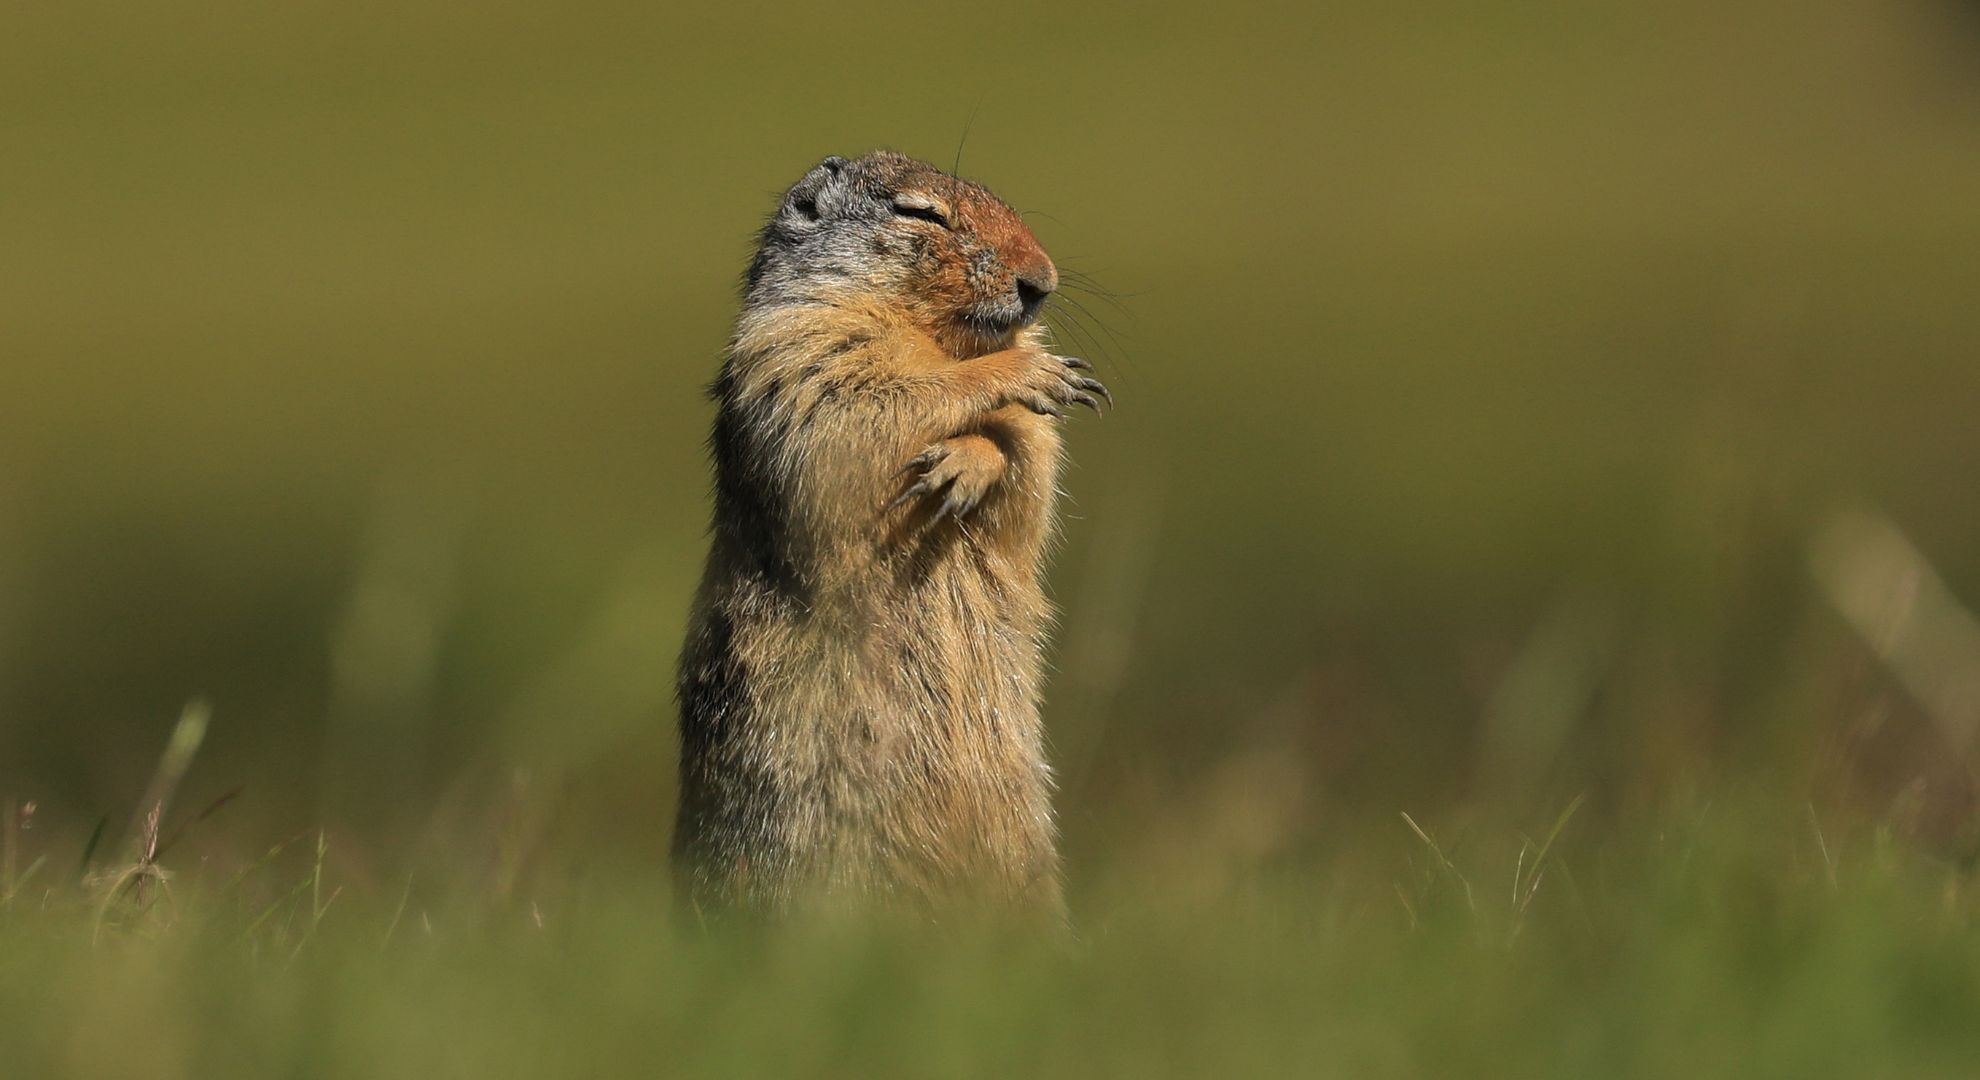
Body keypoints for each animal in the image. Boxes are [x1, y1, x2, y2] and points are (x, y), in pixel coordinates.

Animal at [671, 151, 1108, 920]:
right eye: (920, 213)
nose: (1042, 282)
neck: (935, 338)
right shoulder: (794, 350)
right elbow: (864, 404)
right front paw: (1023, 374)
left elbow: (1029, 454)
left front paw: (970, 461)